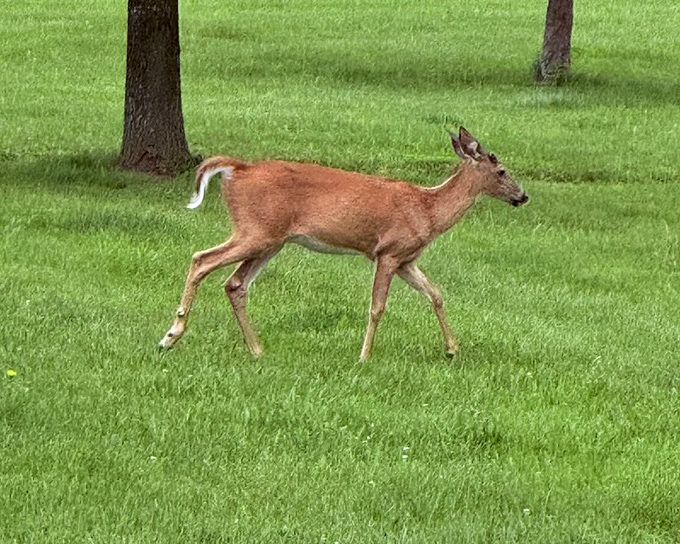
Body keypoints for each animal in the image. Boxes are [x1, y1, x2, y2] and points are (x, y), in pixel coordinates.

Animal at [159, 127, 528, 360]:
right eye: (502, 171)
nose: (523, 196)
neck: (428, 210)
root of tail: (238, 169)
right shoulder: (387, 251)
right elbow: (377, 307)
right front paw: (364, 356)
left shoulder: (407, 259)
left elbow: (436, 294)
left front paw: (452, 349)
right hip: (255, 231)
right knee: (201, 259)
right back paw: (170, 336)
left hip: (271, 240)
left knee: (234, 284)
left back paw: (257, 350)